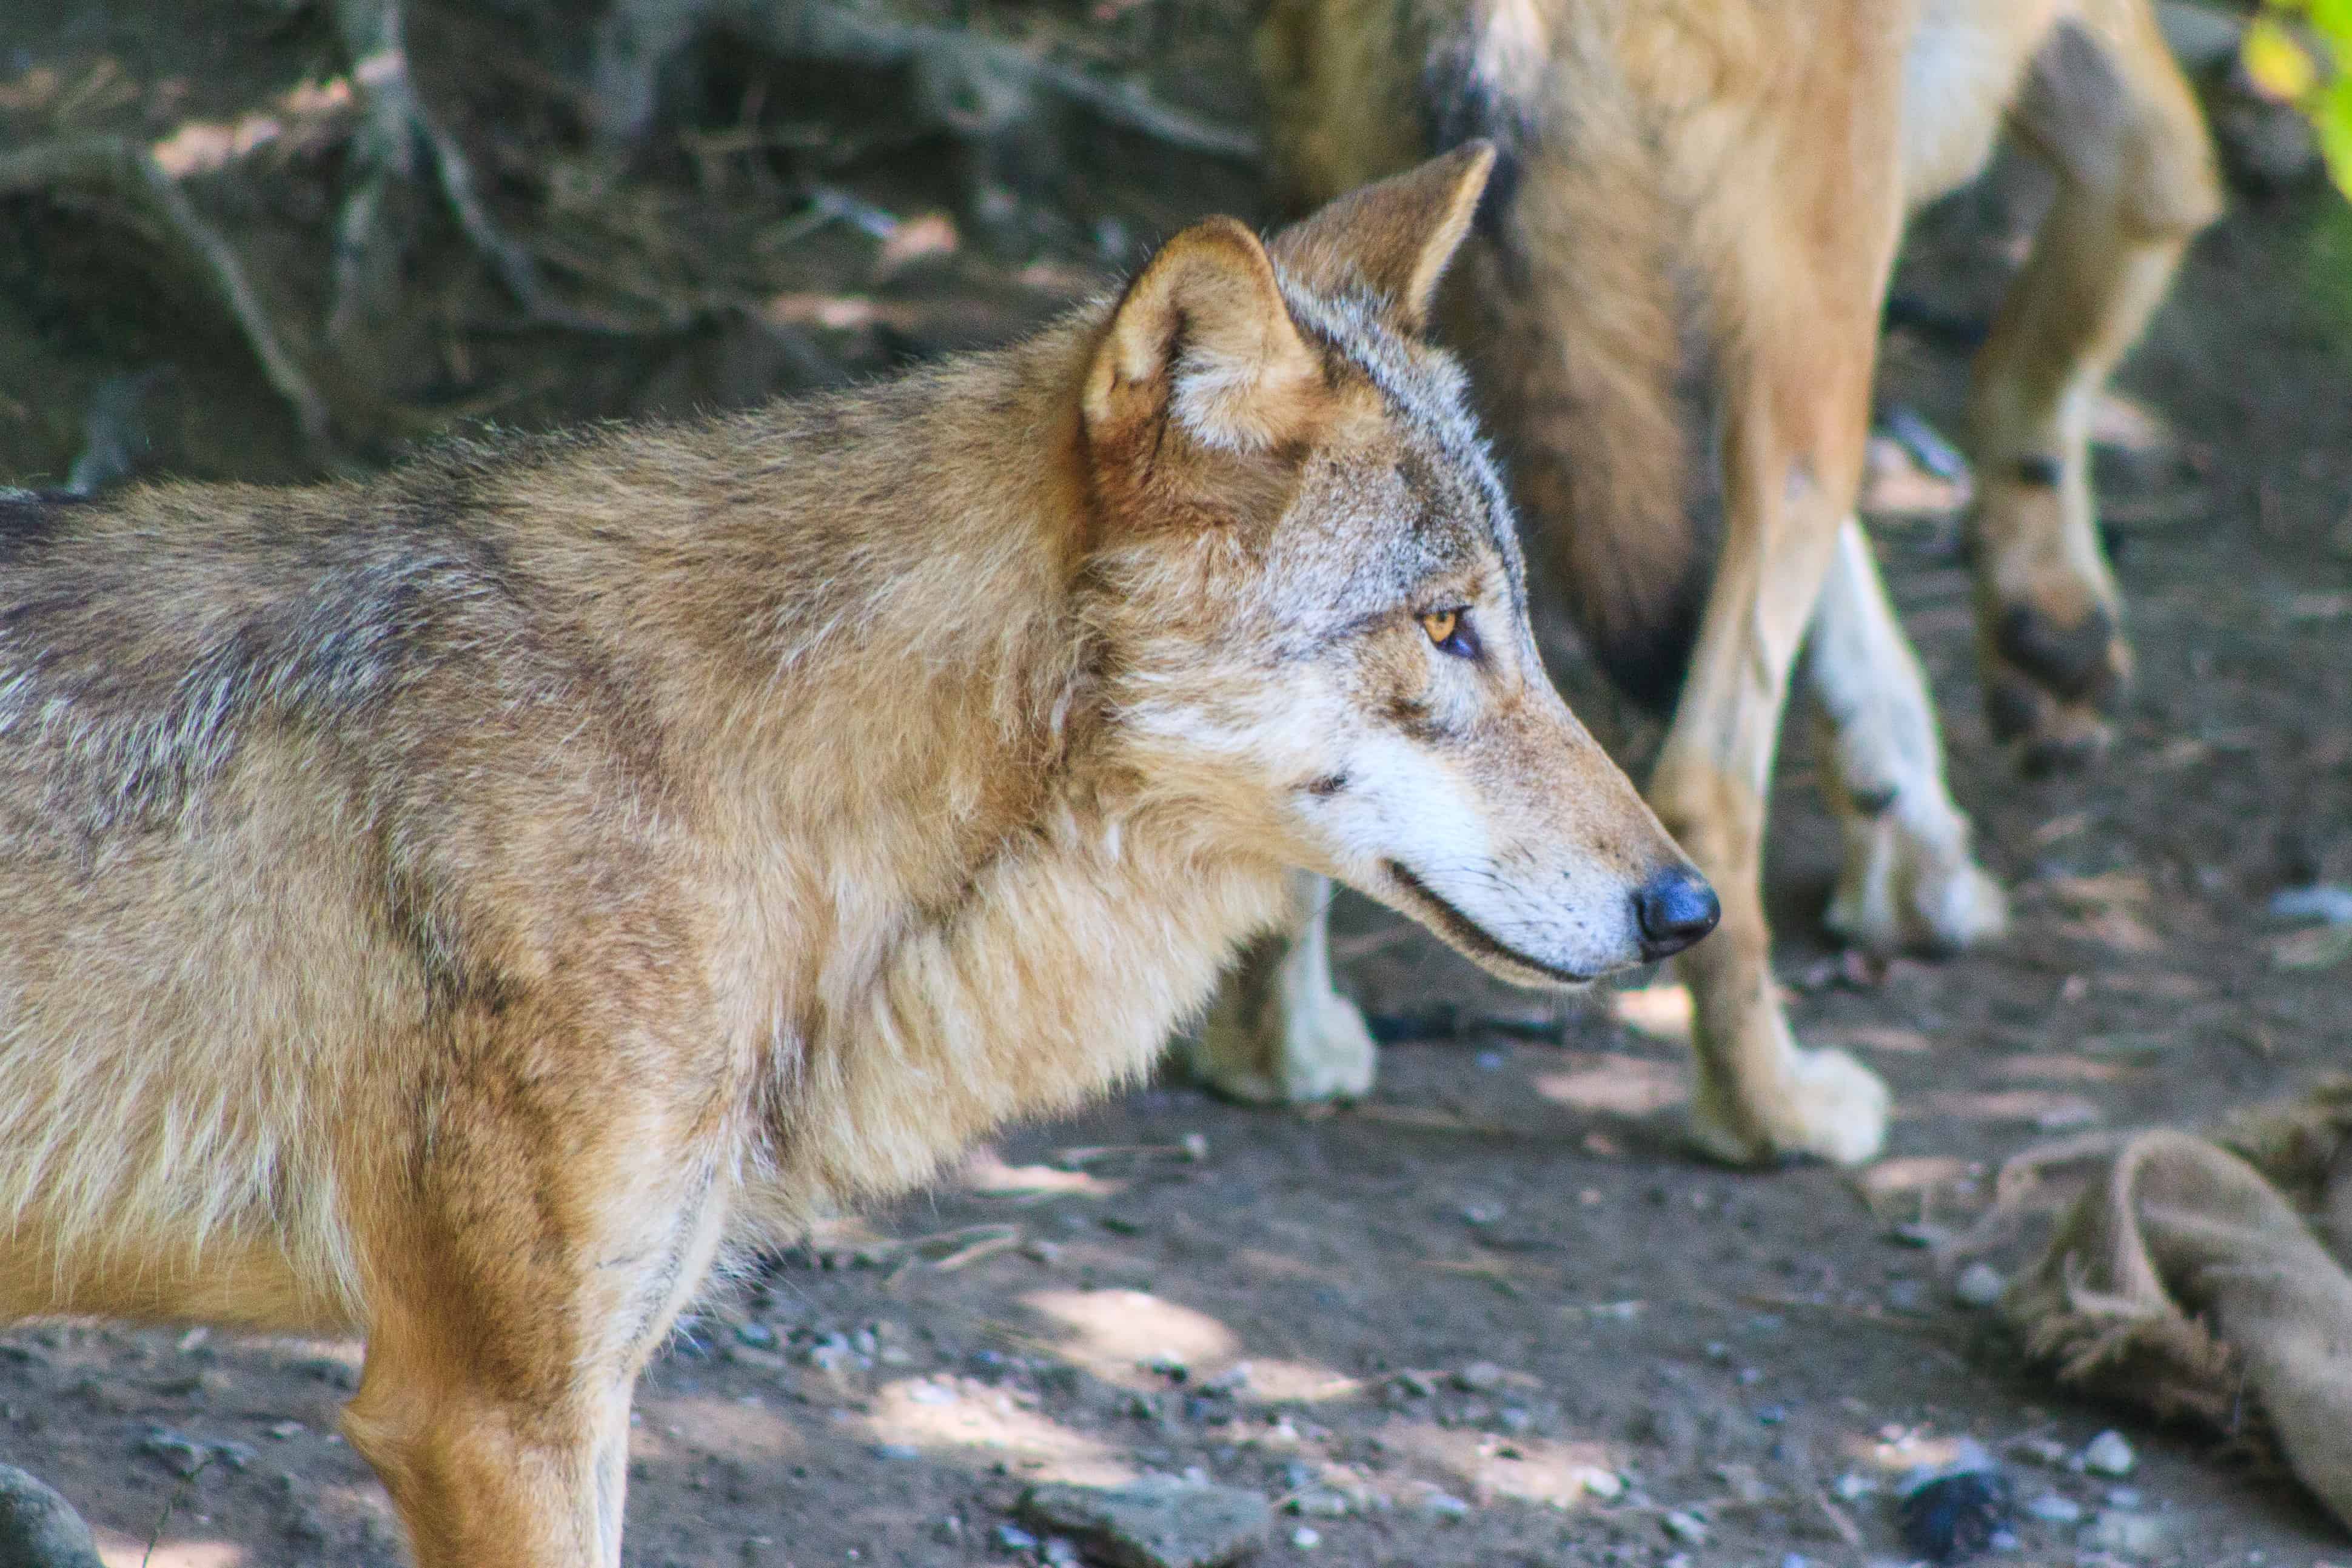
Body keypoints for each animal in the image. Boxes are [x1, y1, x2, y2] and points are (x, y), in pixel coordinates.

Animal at [0, 147, 1716, 1566]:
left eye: (1514, 619)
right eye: (1445, 626)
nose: (1690, 907)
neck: (732, 781)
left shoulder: (572, 1386)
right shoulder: (491, 1412)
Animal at [1201, 0, 2222, 1165]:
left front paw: (1909, 837)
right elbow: (2144, 200)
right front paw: (2048, 625)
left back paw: (1273, 1056)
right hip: (1819, 303)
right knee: (1706, 782)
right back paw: (1770, 1114)